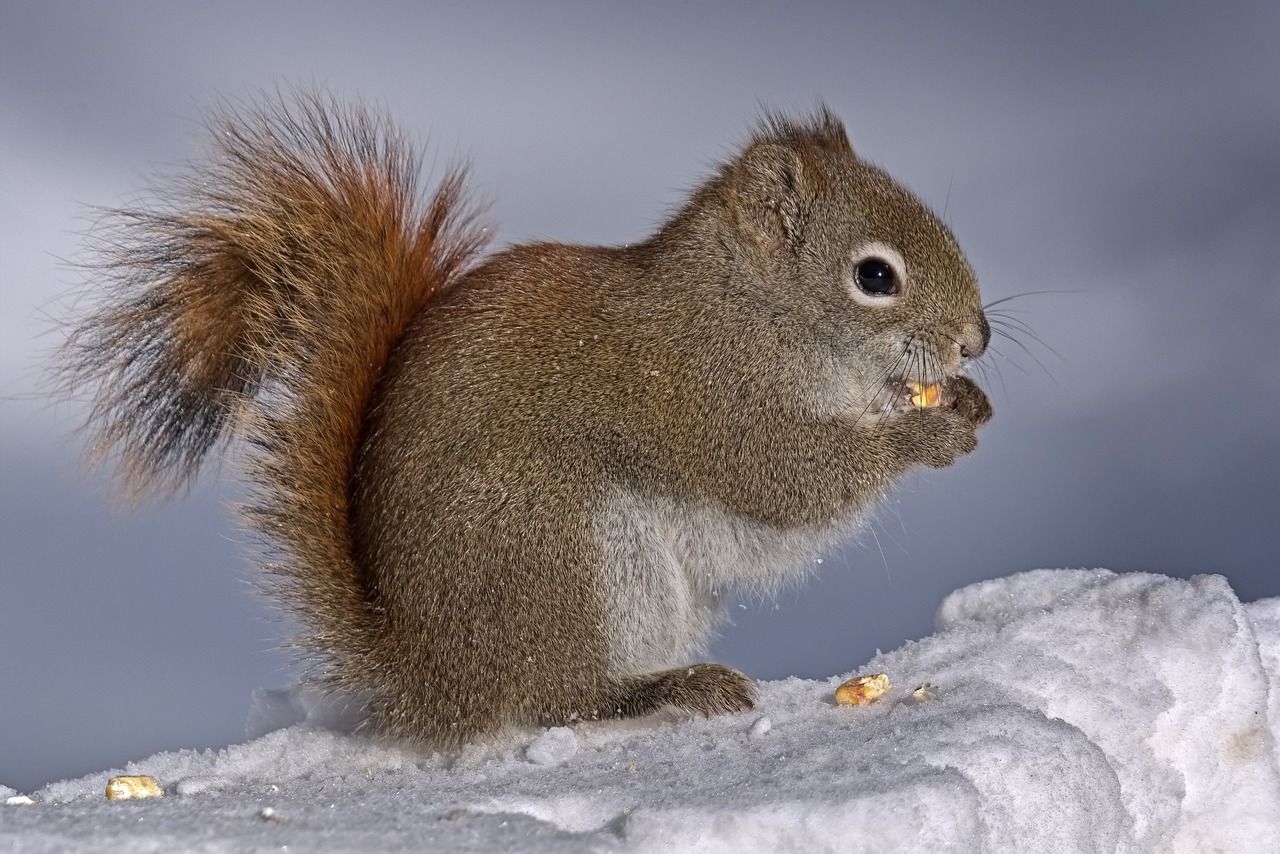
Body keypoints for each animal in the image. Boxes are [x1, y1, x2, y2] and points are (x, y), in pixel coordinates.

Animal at [59, 90, 992, 745]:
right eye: (874, 276)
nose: (976, 339)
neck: (750, 309)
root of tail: (432, 673)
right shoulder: (702, 395)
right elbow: (791, 481)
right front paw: (929, 431)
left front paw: (968, 402)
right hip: (557, 545)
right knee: (553, 699)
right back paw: (658, 692)